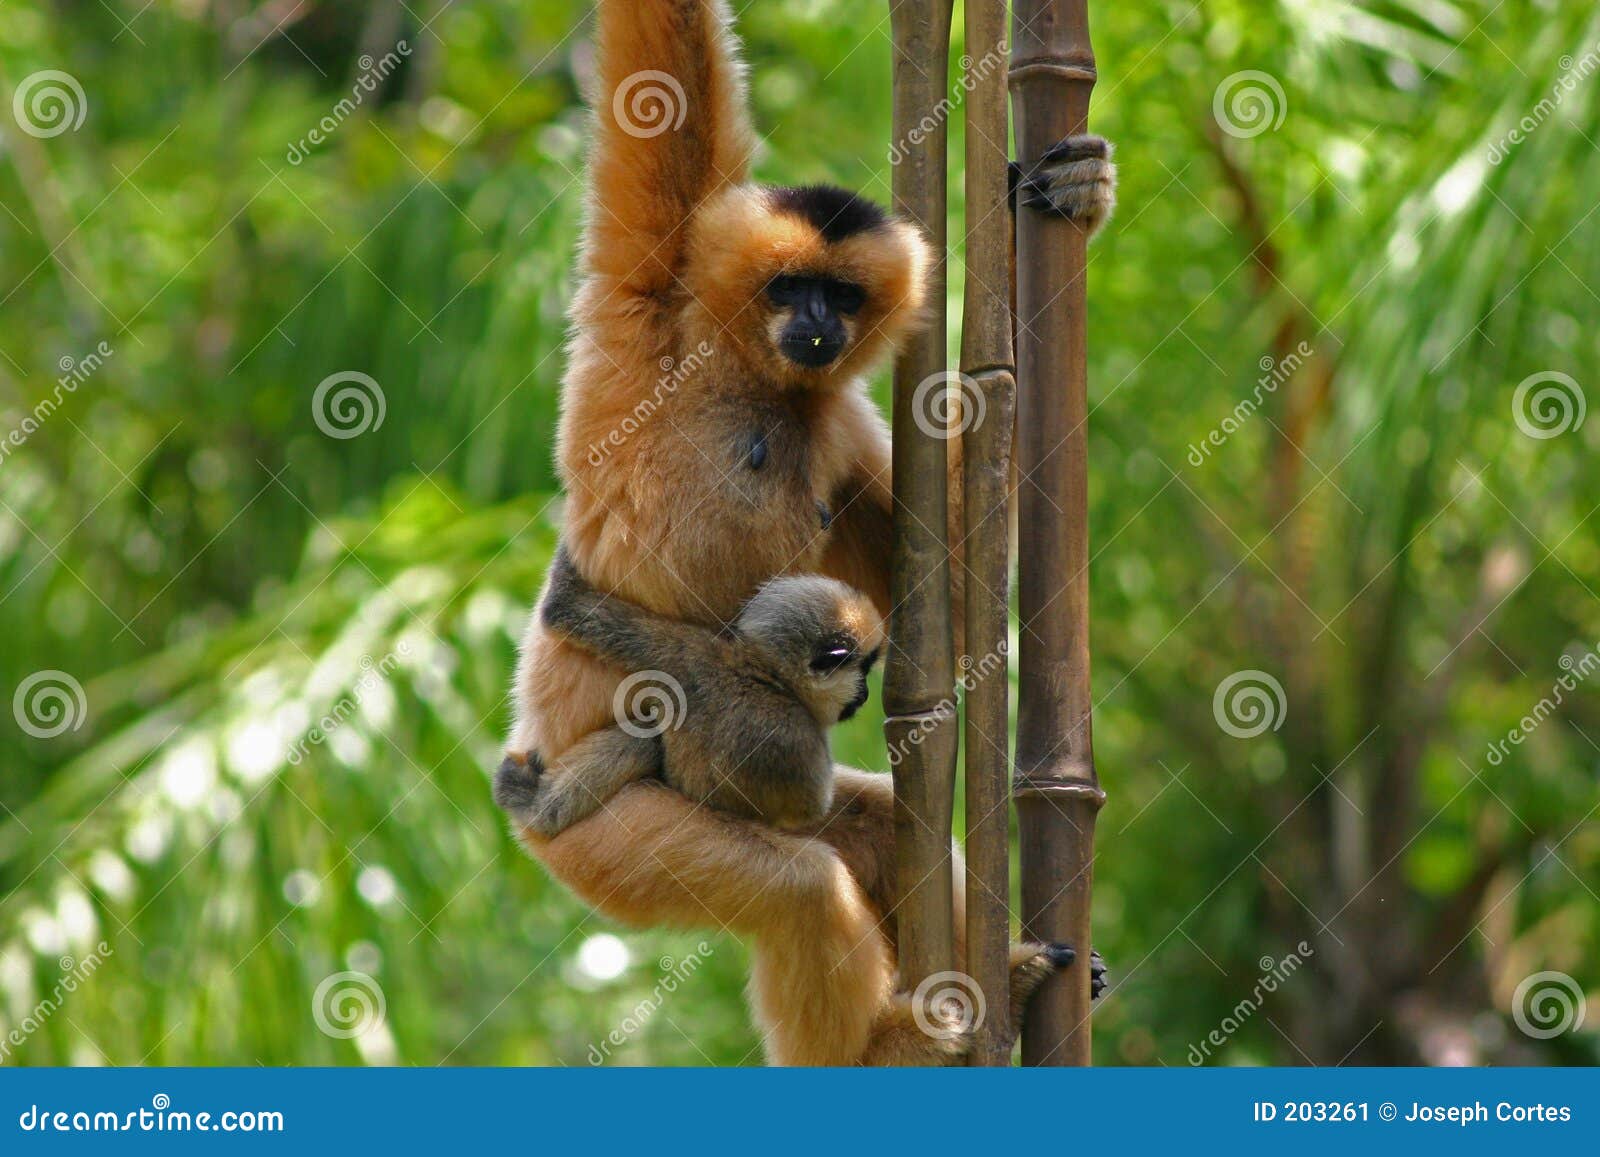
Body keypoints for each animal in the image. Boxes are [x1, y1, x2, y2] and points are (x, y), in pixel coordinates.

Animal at [496, 544, 885, 834]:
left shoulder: (690, 653)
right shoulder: (797, 735)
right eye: (863, 673)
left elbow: (570, 609)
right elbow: (815, 803)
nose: (866, 694)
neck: (758, 673)